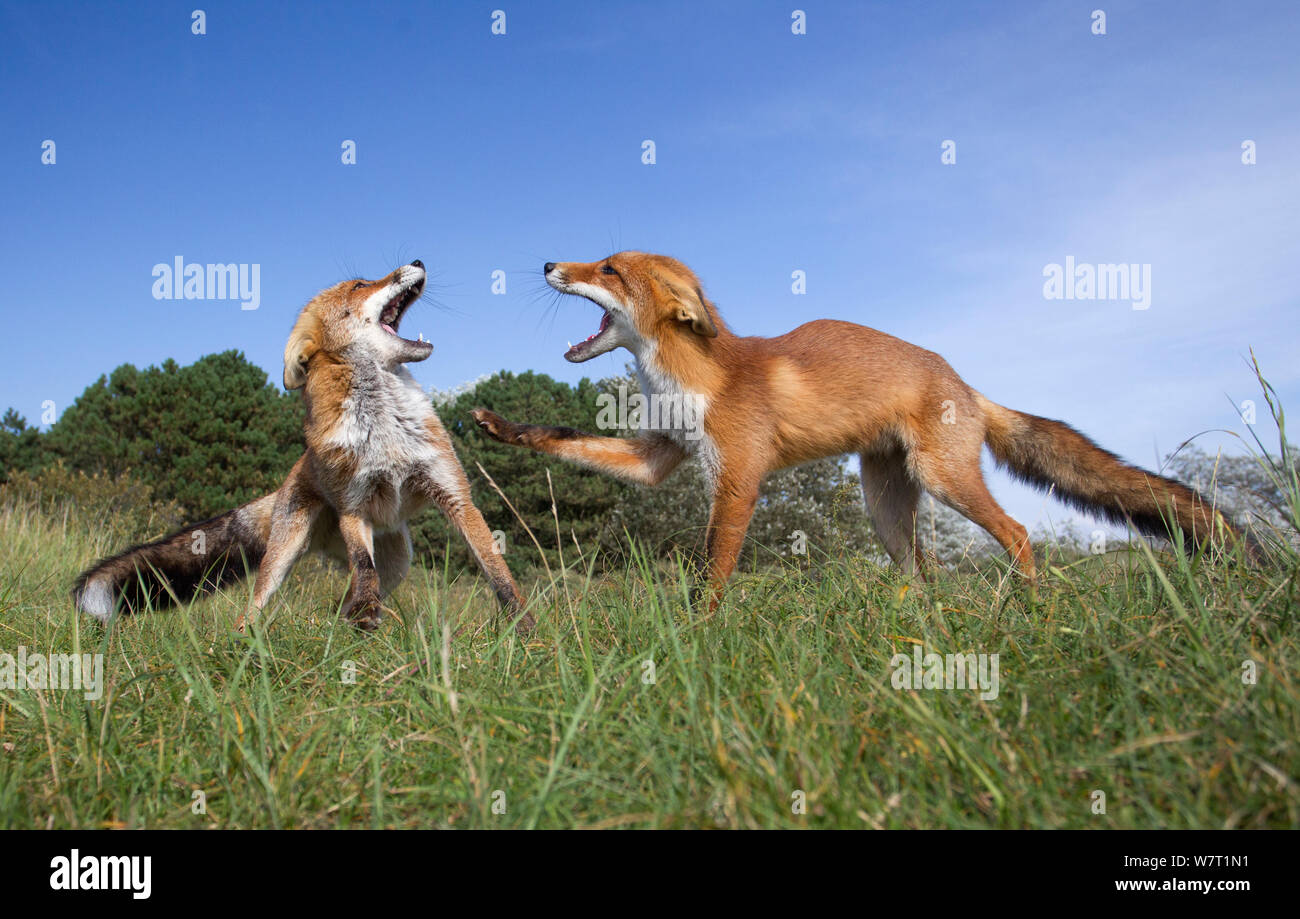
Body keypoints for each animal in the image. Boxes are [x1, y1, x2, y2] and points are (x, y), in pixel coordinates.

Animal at [74, 261, 534, 634]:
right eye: (360, 285)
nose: (418, 260)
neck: (385, 429)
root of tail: (290, 478)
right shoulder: (353, 506)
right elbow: (363, 567)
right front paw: (367, 614)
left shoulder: (455, 496)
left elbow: (497, 571)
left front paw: (523, 628)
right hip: (284, 555)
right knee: (259, 607)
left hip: (399, 561)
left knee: (346, 598)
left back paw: (347, 628)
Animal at [471, 251, 1248, 606]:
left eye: (608, 268)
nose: (548, 261)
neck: (688, 380)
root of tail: (964, 381)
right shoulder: (659, 455)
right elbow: (563, 438)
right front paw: (501, 425)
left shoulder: (739, 476)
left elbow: (714, 569)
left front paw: (699, 628)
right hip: (885, 506)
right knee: (920, 573)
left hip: (944, 478)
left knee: (1020, 532)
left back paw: (1029, 602)